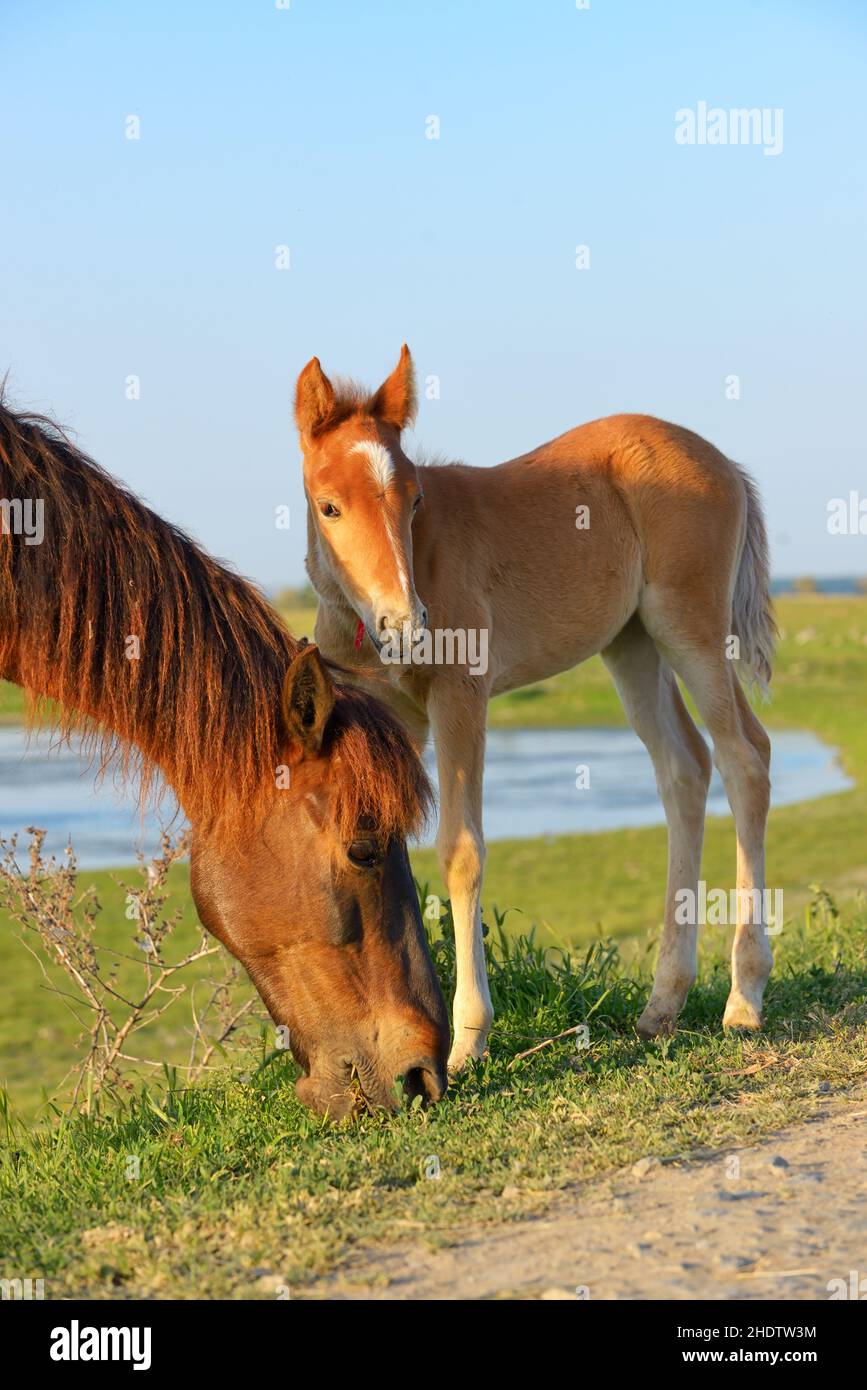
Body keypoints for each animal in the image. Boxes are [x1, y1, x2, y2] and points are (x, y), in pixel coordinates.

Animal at [296, 346, 777, 1073]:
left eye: (414, 499)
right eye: (329, 507)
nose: (406, 623)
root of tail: (723, 462)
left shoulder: (461, 694)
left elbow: (460, 849)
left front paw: (467, 1041)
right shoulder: (391, 716)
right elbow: (381, 848)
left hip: (689, 626)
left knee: (744, 757)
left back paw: (743, 998)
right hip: (630, 641)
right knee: (684, 767)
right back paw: (662, 1004)